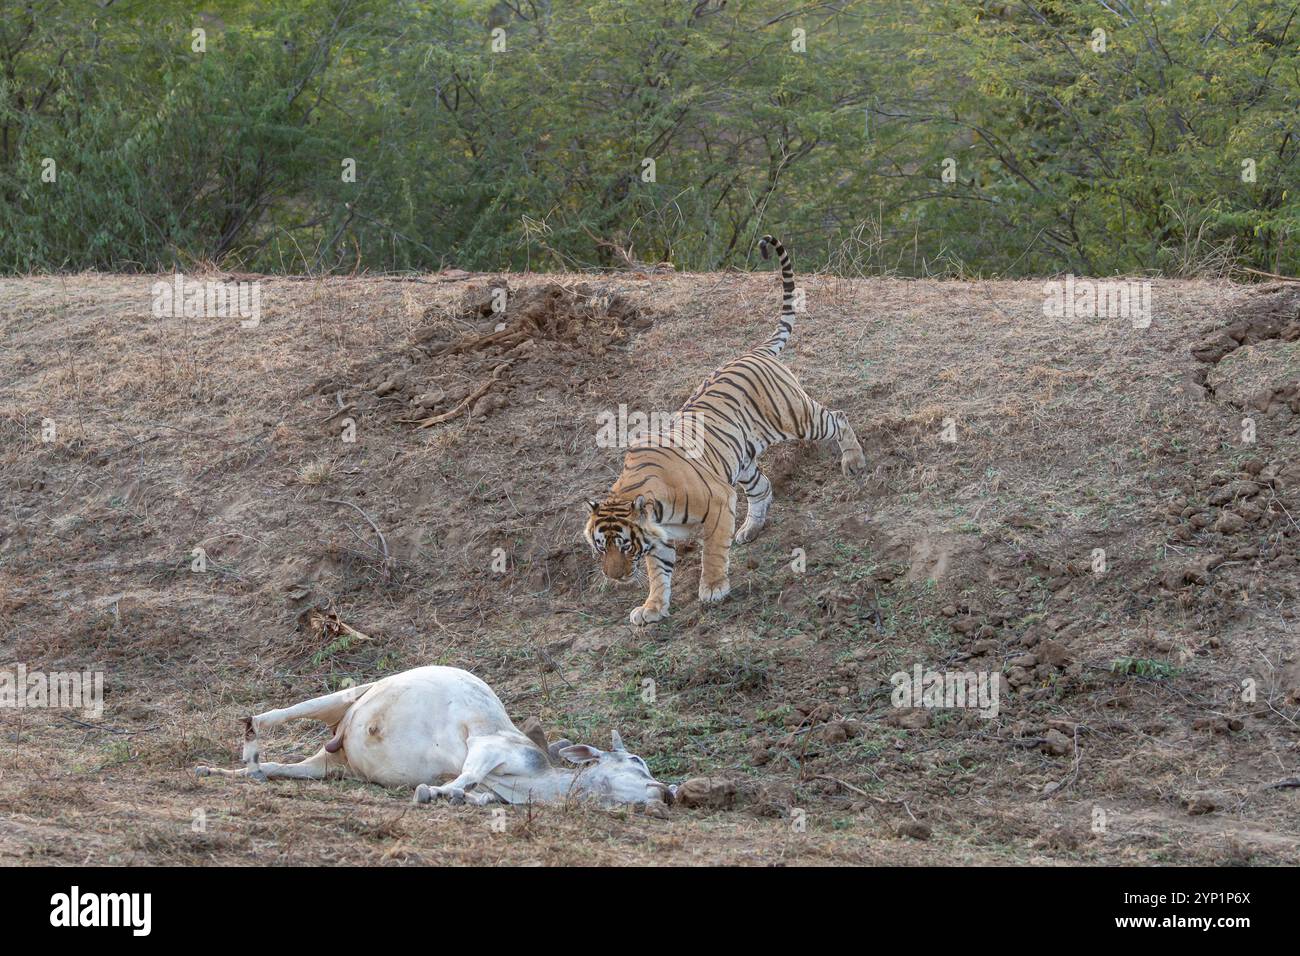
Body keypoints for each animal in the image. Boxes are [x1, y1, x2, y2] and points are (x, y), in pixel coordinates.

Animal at [195, 665, 673, 811]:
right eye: (637, 762)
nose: (667, 791)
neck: (533, 778)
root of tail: (340, 742)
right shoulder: (489, 745)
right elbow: (465, 776)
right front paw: (433, 791)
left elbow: (474, 791)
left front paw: (452, 795)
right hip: (344, 697)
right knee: (274, 714)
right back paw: (250, 738)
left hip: (326, 767)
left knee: (278, 768)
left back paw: (228, 769)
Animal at [584, 235, 866, 625]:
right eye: (601, 546)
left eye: (625, 545)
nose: (615, 577)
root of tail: (755, 351)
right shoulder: (659, 537)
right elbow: (659, 573)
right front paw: (652, 608)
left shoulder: (719, 503)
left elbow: (713, 551)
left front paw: (714, 588)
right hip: (743, 459)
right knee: (763, 488)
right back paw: (750, 529)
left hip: (796, 418)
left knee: (837, 417)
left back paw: (853, 463)